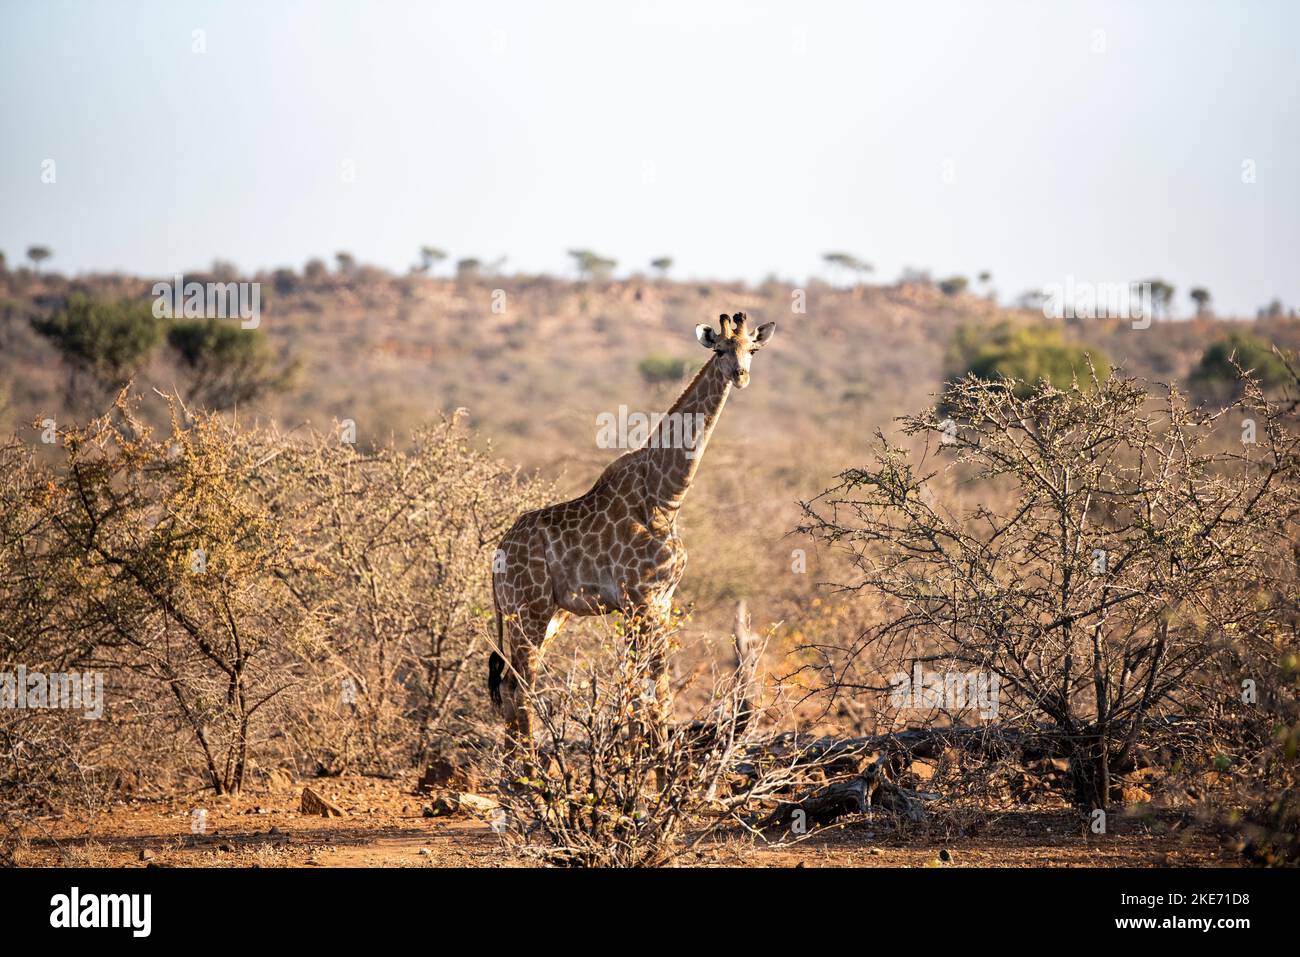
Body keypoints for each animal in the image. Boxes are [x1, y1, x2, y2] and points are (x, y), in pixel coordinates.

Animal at [487, 312, 776, 765]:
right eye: (719, 349)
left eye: (753, 349)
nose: (741, 375)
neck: (666, 498)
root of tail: (496, 555)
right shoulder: (638, 598)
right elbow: (647, 685)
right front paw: (649, 770)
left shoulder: (660, 599)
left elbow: (654, 687)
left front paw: (653, 767)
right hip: (527, 610)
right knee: (521, 684)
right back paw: (527, 773)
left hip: (551, 614)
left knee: (511, 684)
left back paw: (516, 771)